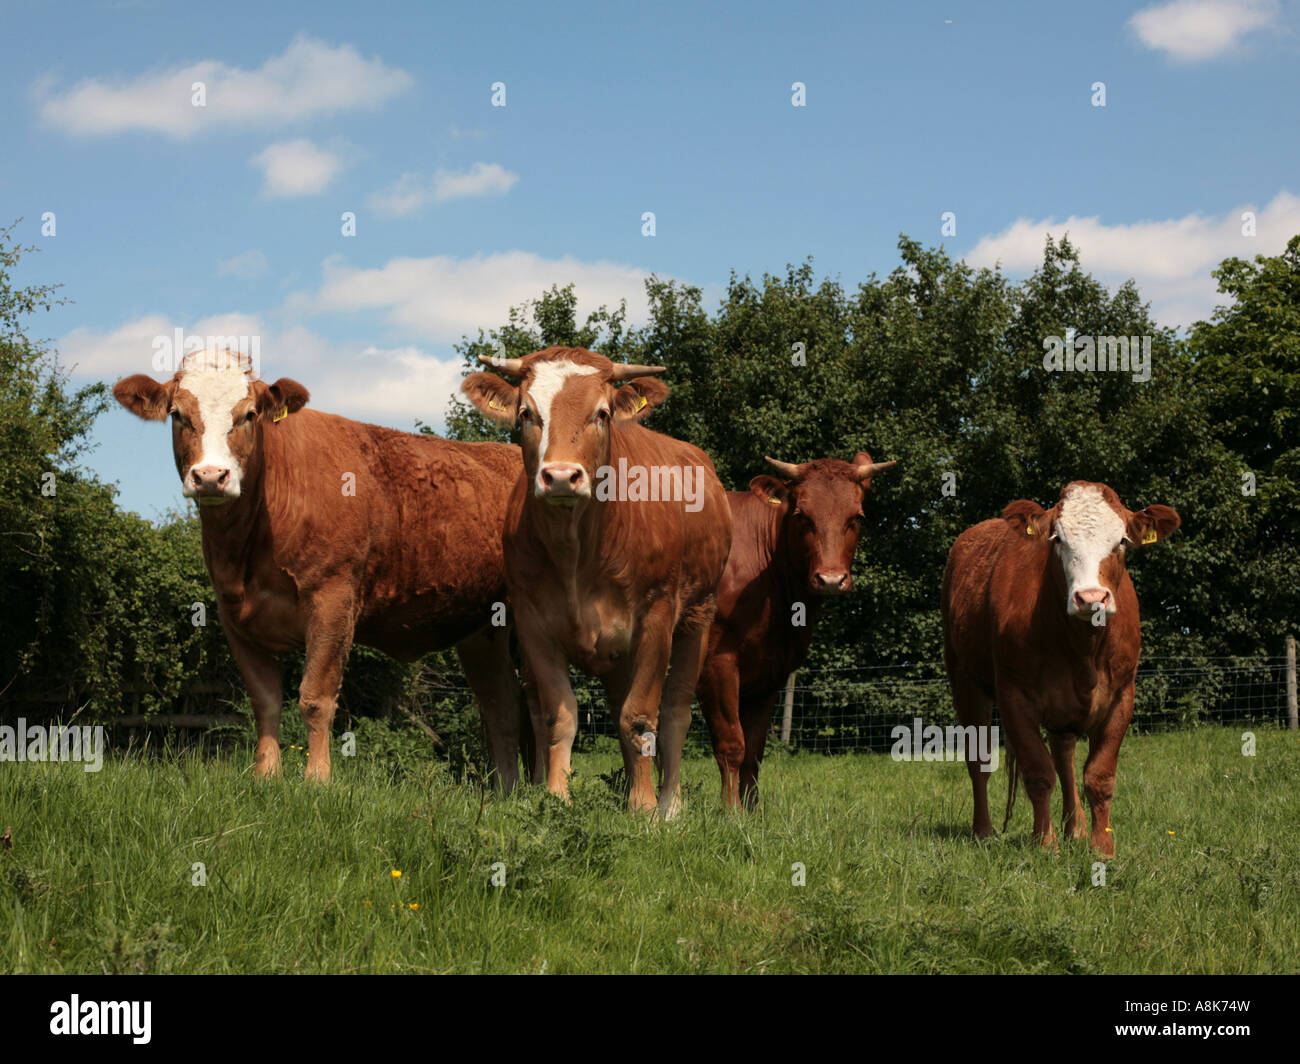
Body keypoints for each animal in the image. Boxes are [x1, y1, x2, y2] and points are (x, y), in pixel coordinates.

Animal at [112, 348, 531, 788]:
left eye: (249, 414)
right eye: (177, 414)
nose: (210, 476)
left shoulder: (333, 600)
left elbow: (315, 698)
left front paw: (317, 778)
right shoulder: (235, 616)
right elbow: (265, 701)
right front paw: (267, 776)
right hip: (483, 628)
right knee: (502, 705)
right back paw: (506, 789)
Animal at [461, 346, 732, 819]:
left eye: (602, 414)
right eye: (526, 413)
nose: (560, 476)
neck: (577, 550)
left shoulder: (656, 616)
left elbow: (640, 716)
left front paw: (644, 808)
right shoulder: (533, 623)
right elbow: (561, 715)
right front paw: (557, 796)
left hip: (699, 615)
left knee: (675, 711)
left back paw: (669, 803)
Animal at [696, 453, 896, 808]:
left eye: (857, 517)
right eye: (801, 515)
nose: (831, 579)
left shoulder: (770, 673)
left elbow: (754, 751)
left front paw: (752, 812)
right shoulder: (717, 664)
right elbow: (732, 744)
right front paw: (731, 811)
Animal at [941, 480, 1180, 855]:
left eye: (1122, 541)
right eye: (1057, 540)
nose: (1092, 598)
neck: (1083, 648)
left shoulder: (1122, 696)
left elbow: (1098, 775)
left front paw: (1102, 847)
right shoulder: (1014, 695)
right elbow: (1038, 772)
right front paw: (1045, 844)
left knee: (1064, 756)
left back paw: (1076, 829)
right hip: (964, 680)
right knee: (978, 760)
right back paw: (983, 832)